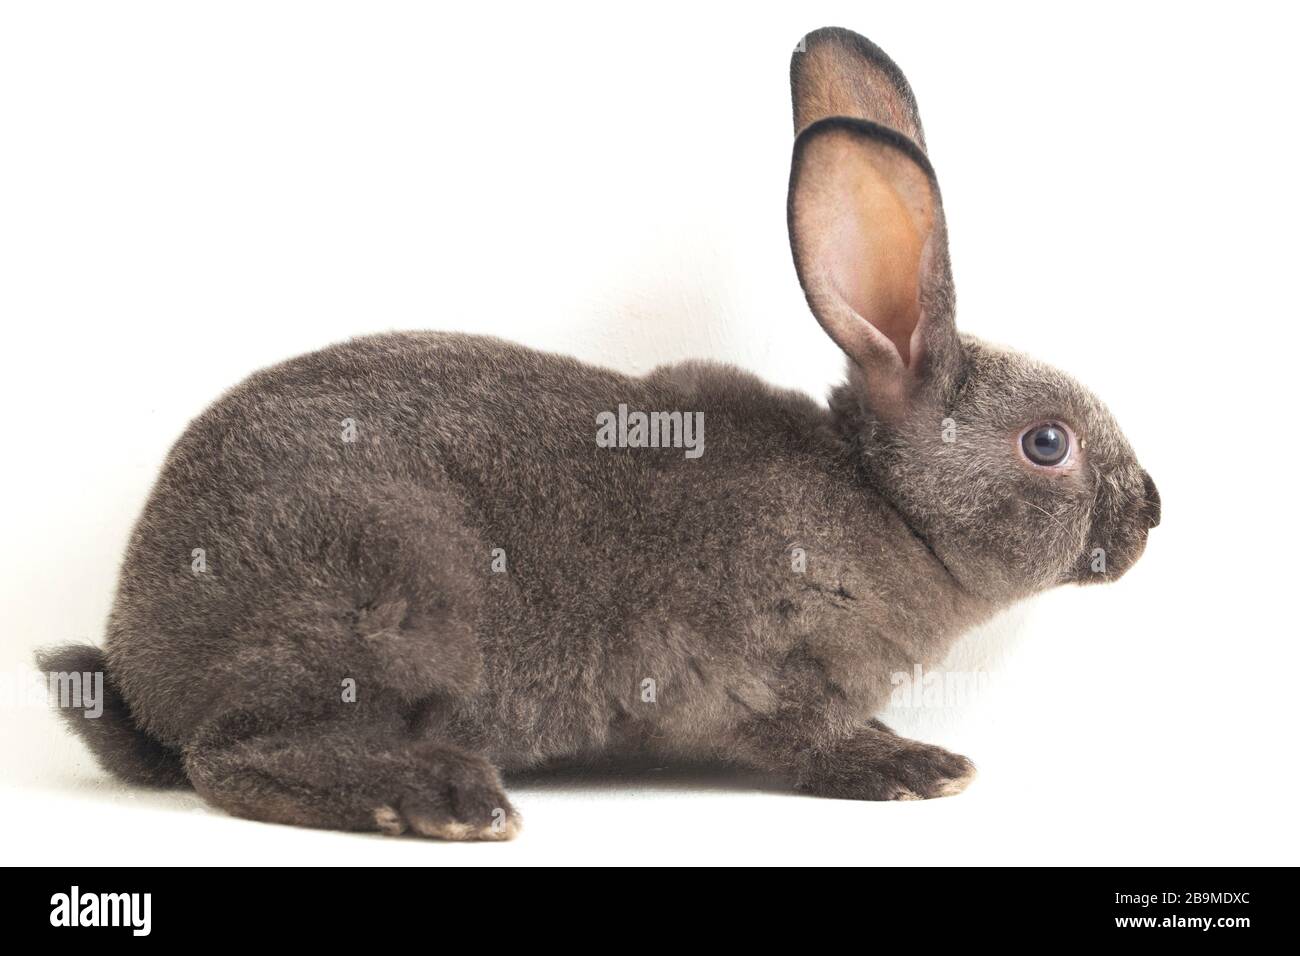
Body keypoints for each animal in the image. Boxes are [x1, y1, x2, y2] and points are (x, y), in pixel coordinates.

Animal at [38, 26, 1158, 840]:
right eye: (1048, 443)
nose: (1152, 509)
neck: (889, 506)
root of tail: (137, 657)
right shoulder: (765, 667)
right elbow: (800, 740)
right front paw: (910, 766)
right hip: (382, 597)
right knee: (230, 756)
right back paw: (445, 801)